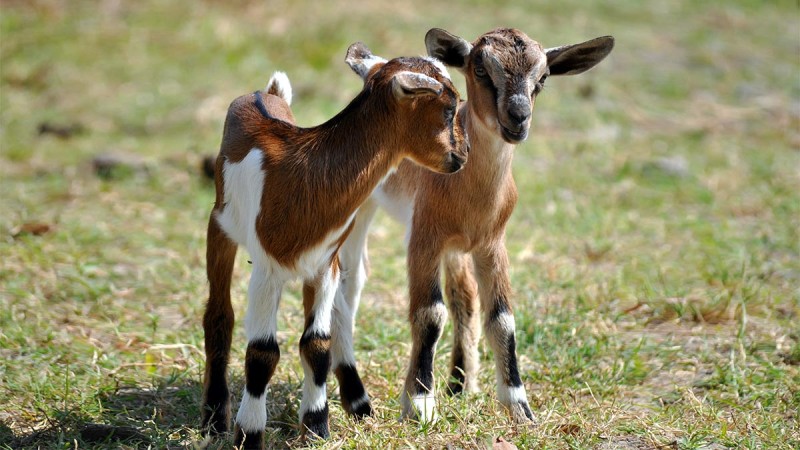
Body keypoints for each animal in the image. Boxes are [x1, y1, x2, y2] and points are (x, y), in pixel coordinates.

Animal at [201, 43, 469, 448]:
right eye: (449, 109)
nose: (463, 155)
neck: (306, 174)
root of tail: (264, 94)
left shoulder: (324, 265)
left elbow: (317, 345)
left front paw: (316, 427)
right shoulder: (266, 269)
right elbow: (261, 352)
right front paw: (249, 434)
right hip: (220, 229)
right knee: (218, 317)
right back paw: (215, 417)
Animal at [331, 28, 614, 423]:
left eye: (542, 78)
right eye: (480, 70)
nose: (518, 118)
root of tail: (374, 67)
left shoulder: (491, 244)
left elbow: (501, 319)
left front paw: (519, 407)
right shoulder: (424, 238)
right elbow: (429, 313)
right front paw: (420, 404)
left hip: (457, 249)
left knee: (462, 295)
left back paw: (459, 382)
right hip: (361, 208)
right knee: (349, 284)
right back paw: (359, 399)